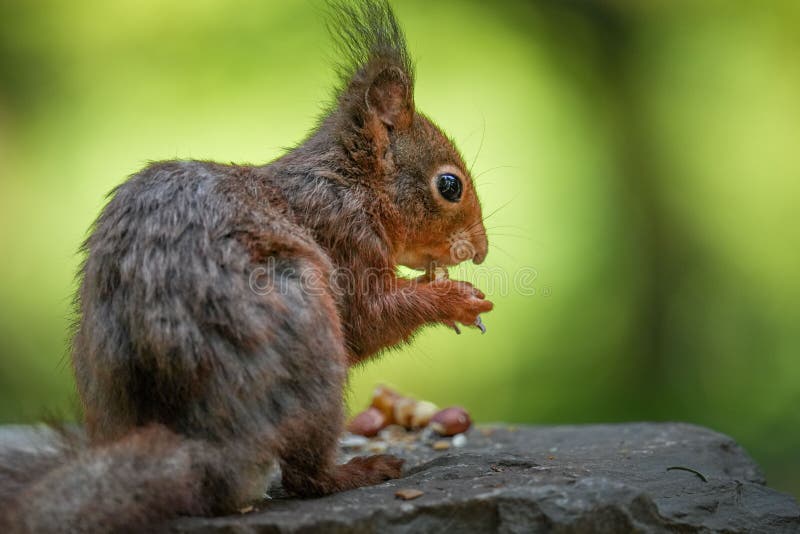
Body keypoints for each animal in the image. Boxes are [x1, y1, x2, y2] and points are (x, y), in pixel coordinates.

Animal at [0, 0, 492, 531]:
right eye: (449, 185)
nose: (482, 250)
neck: (349, 182)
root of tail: (203, 438)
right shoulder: (344, 235)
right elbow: (367, 317)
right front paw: (454, 299)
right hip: (312, 346)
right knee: (307, 478)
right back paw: (360, 470)